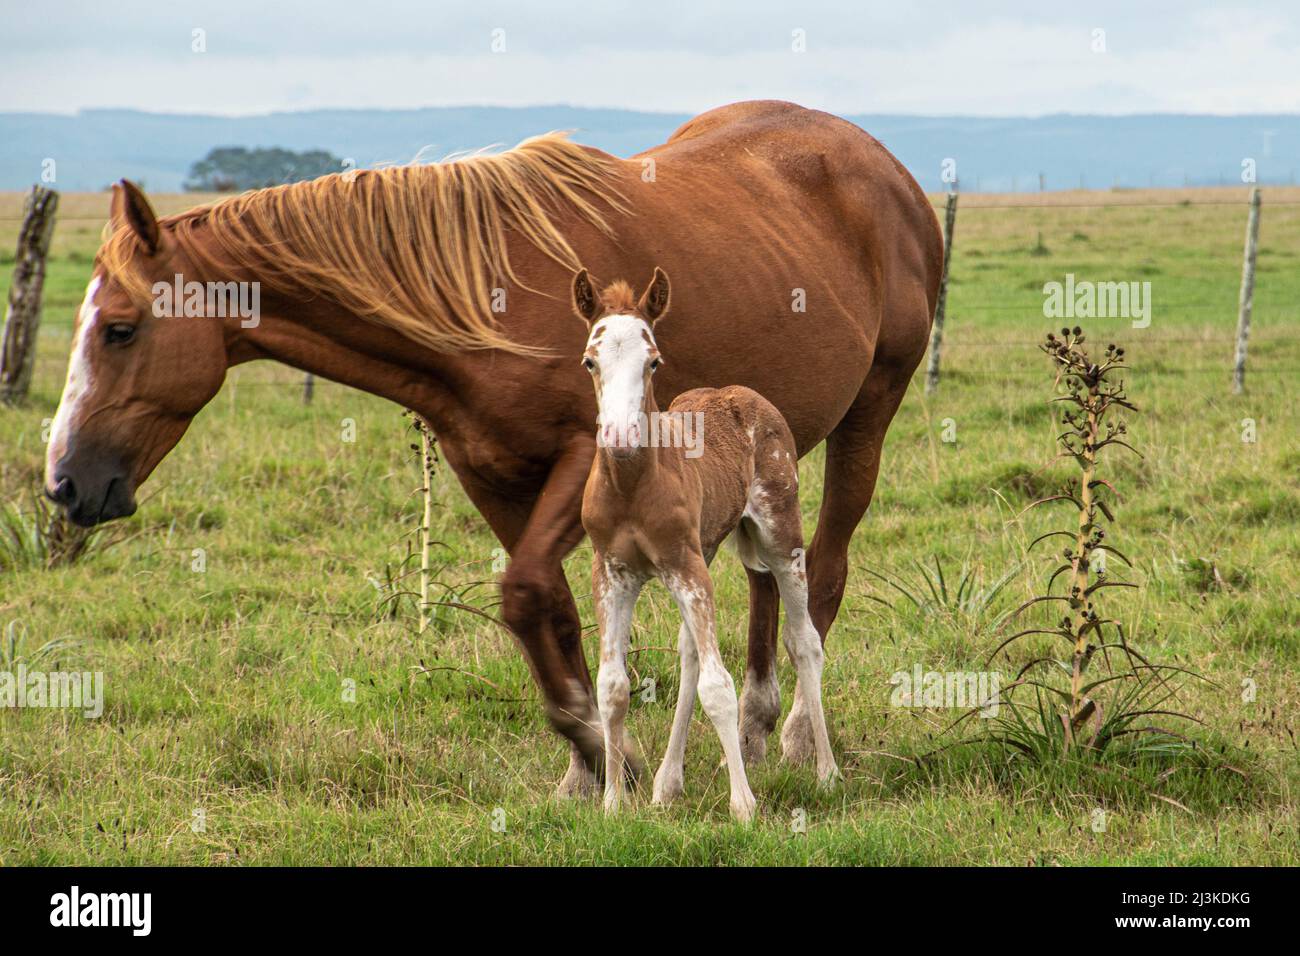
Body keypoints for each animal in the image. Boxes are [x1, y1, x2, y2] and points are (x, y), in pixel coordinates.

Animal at [575, 267, 837, 820]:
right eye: (591, 360)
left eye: (653, 361)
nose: (620, 437)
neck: (632, 485)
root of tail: (744, 393)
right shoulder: (612, 572)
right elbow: (612, 686)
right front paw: (612, 804)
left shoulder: (684, 566)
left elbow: (720, 686)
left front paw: (744, 806)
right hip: (707, 551)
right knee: (690, 653)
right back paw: (666, 784)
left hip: (780, 538)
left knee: (805, 641)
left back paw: (826, 772)